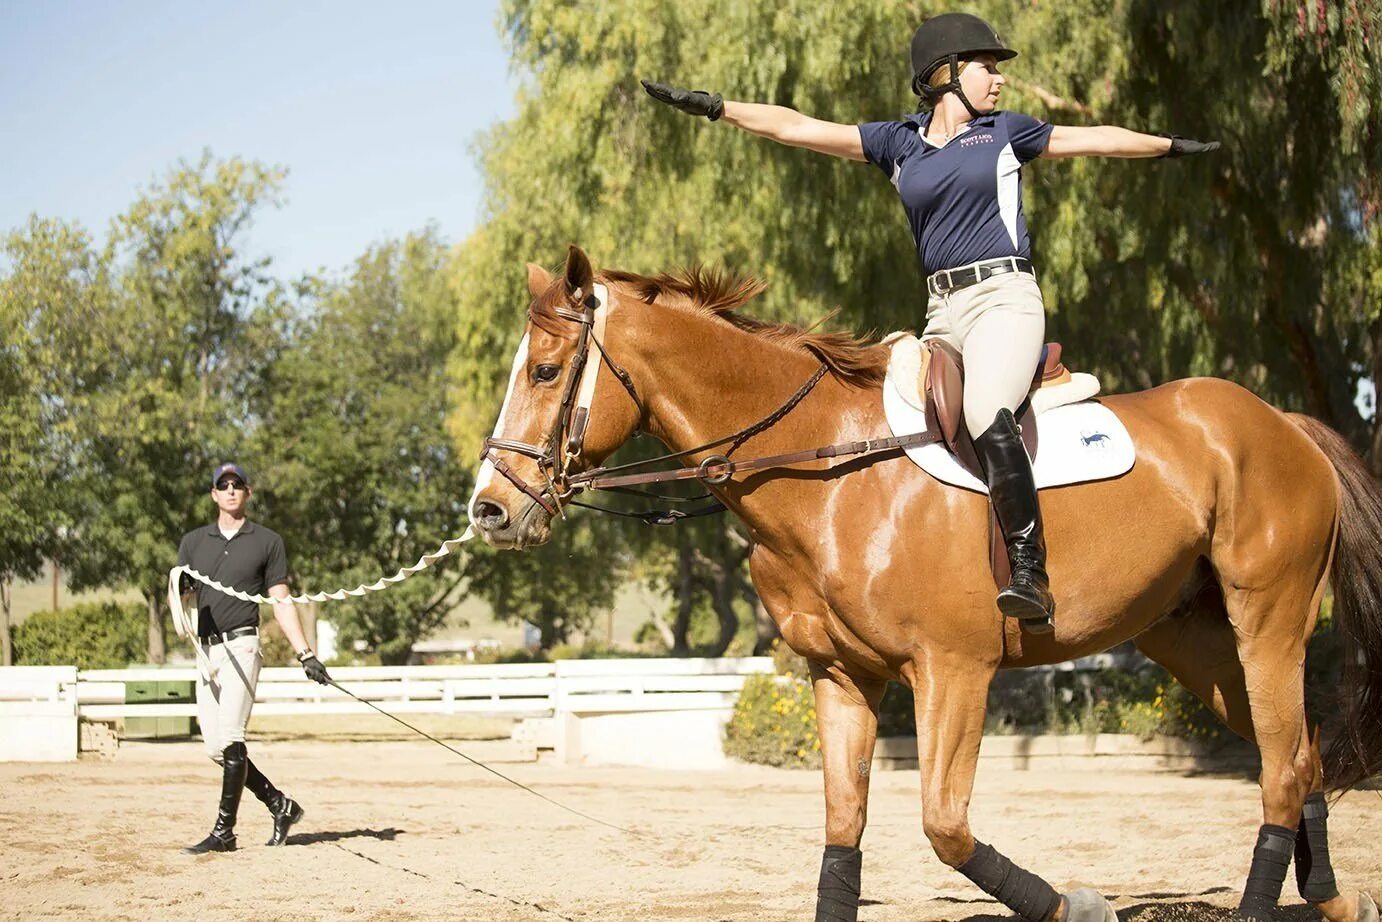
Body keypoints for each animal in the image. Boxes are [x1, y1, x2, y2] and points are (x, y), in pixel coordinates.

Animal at [469, 244, 1376, 922]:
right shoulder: (843, 675)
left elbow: (945, 826)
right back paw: (1334, 901)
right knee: (1297, 756)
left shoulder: (954, 671)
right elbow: (844, 826)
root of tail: (1282, 423)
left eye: (545, 372)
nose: (490, 511)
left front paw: (1075, 903)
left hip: (1268, 620)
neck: (829, 472)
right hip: (1190, 636)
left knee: (1283, 767)